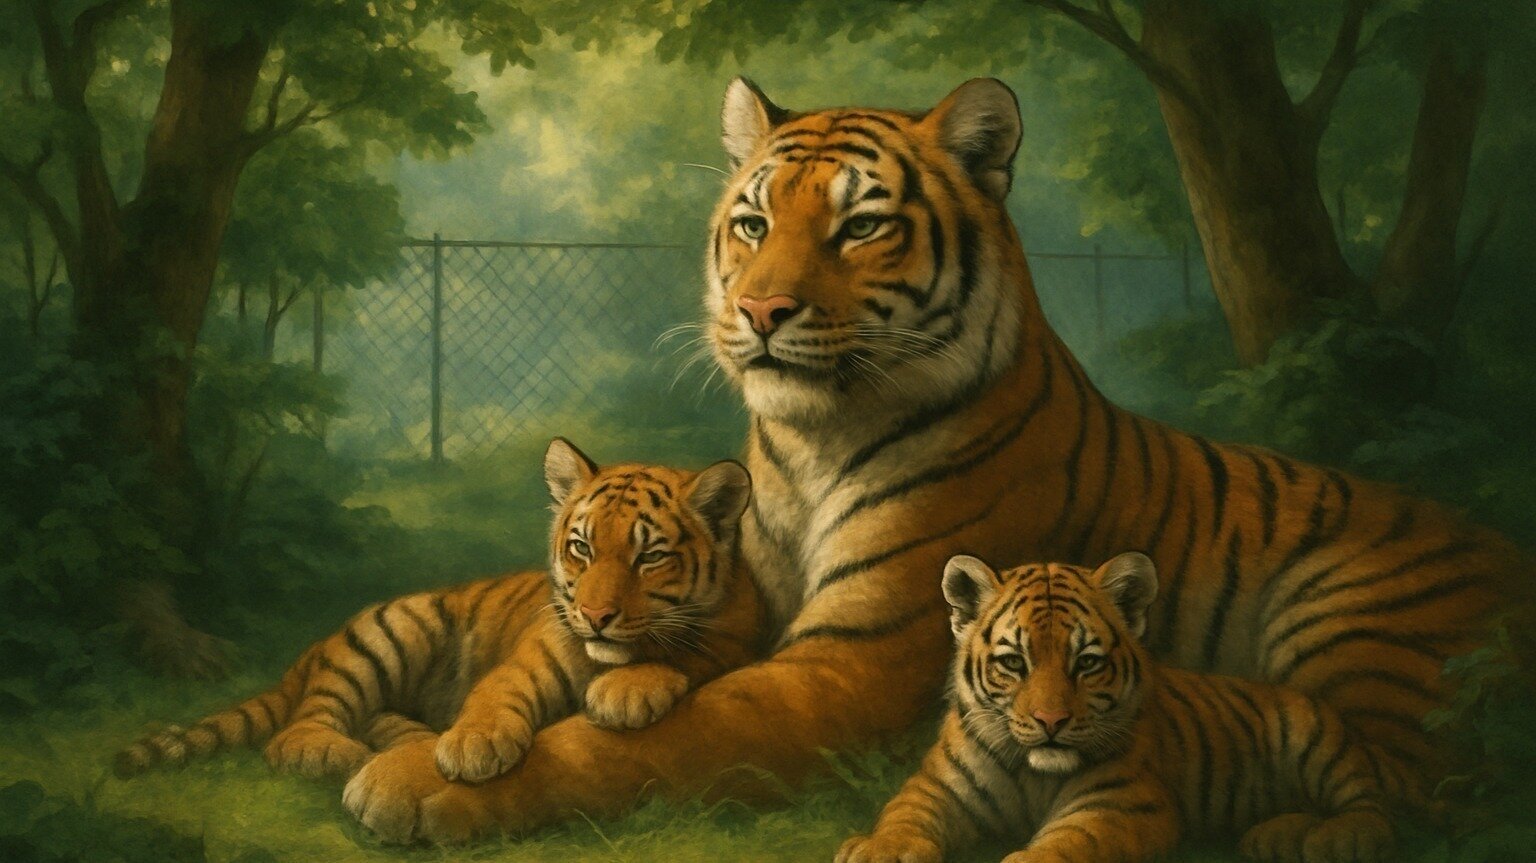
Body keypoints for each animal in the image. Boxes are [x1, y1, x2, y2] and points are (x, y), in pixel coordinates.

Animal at [114, 438, 764, 784]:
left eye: (649, 555)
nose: (595, 614)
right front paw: (472, 745)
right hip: (392, 631)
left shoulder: (735, 637)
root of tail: (311, 652)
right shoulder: (528, 660)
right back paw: (339, 752)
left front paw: (627, 690)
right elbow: (495, 695)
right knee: (298, 728)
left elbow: (692, 656)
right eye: (582, 547)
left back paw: (407, 738)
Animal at [838, 552, 1394, 863]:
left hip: (1317, 737)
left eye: (1086, 662)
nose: (1051, 722)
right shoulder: (937, 786)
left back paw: (1333, 839)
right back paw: (1273, 837)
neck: (1033, 776)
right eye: (1014, 662)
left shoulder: (1121, 804)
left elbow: (1067, 845)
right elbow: (904, 815)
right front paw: (876, 850)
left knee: (1371, 811)